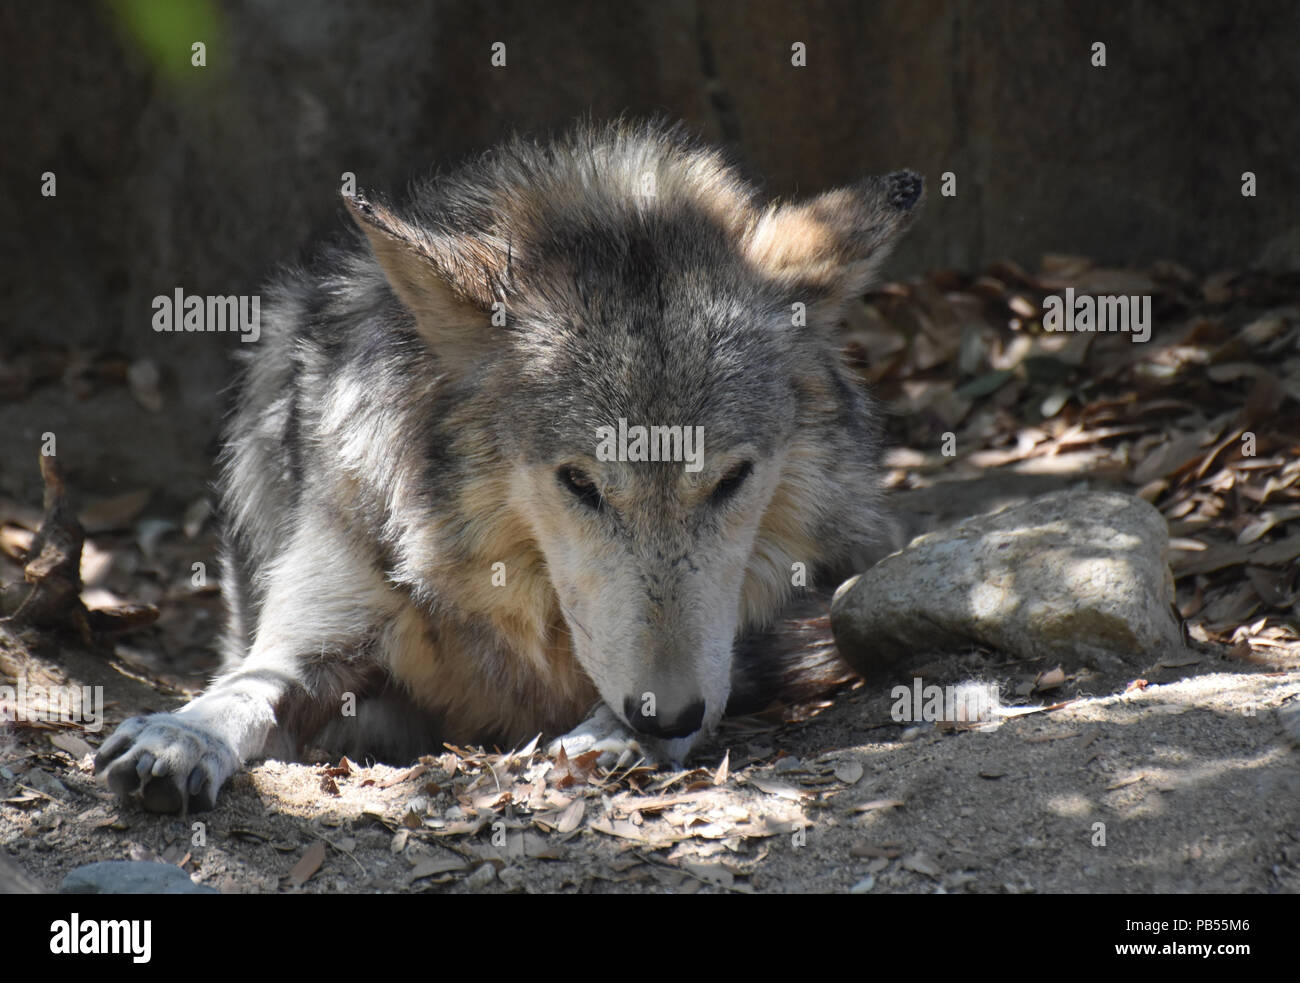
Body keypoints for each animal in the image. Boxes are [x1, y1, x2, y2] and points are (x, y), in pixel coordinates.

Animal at [95, 120, 923, 812]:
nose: (667, 711)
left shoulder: (808, 589)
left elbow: (742, 655)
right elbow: (247, 685)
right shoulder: (322, 635)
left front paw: (614, 734)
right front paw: (181, 735)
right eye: (580, 483)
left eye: (730, 480)